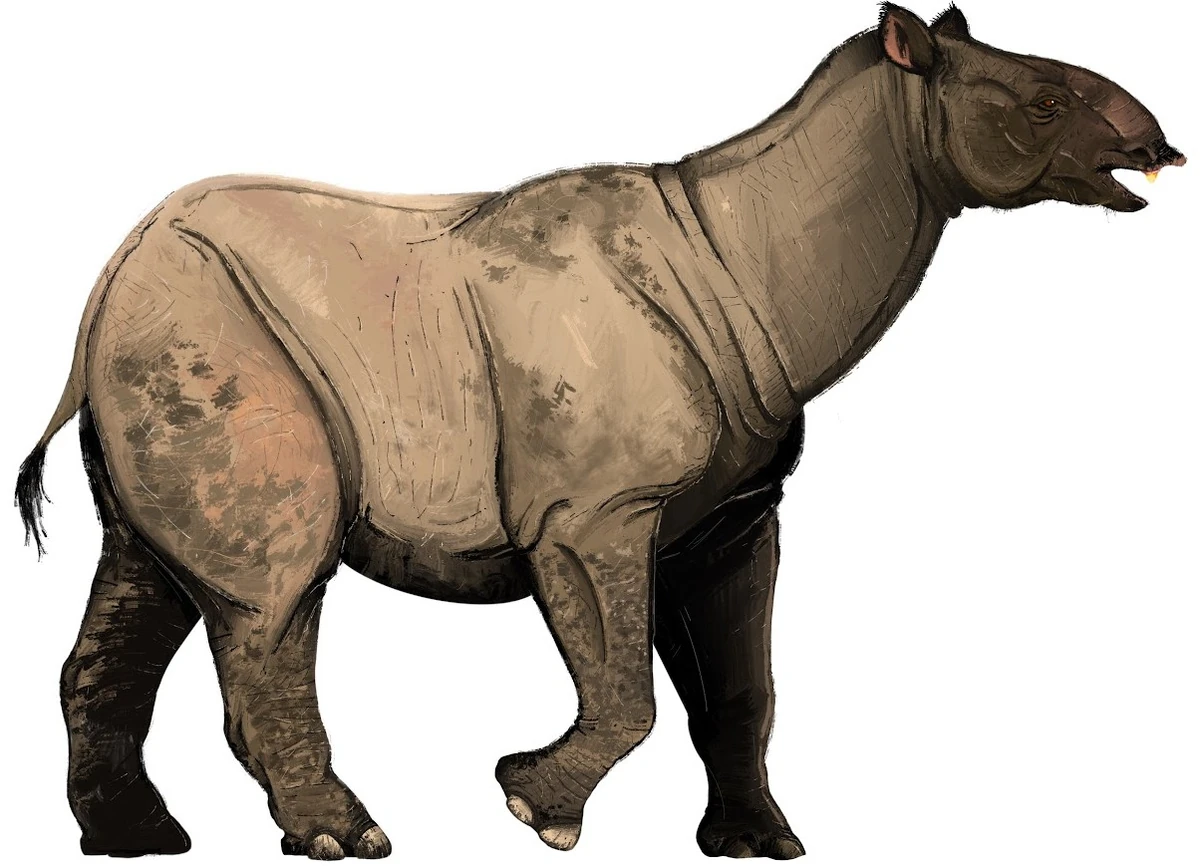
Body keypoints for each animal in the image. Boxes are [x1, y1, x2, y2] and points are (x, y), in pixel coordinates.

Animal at [15, 4, 1185, 860]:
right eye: (1042, 102)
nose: (1158, 149)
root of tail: (105, 280)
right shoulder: (594, 509)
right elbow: (626, 689)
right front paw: (532, 805)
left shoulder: (734, 512)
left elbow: (742, 682)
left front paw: (763, 844)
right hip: (211, 324)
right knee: (278, 582)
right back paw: (346, 838)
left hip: (168, 325)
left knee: (149, 571)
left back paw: (139, 842)